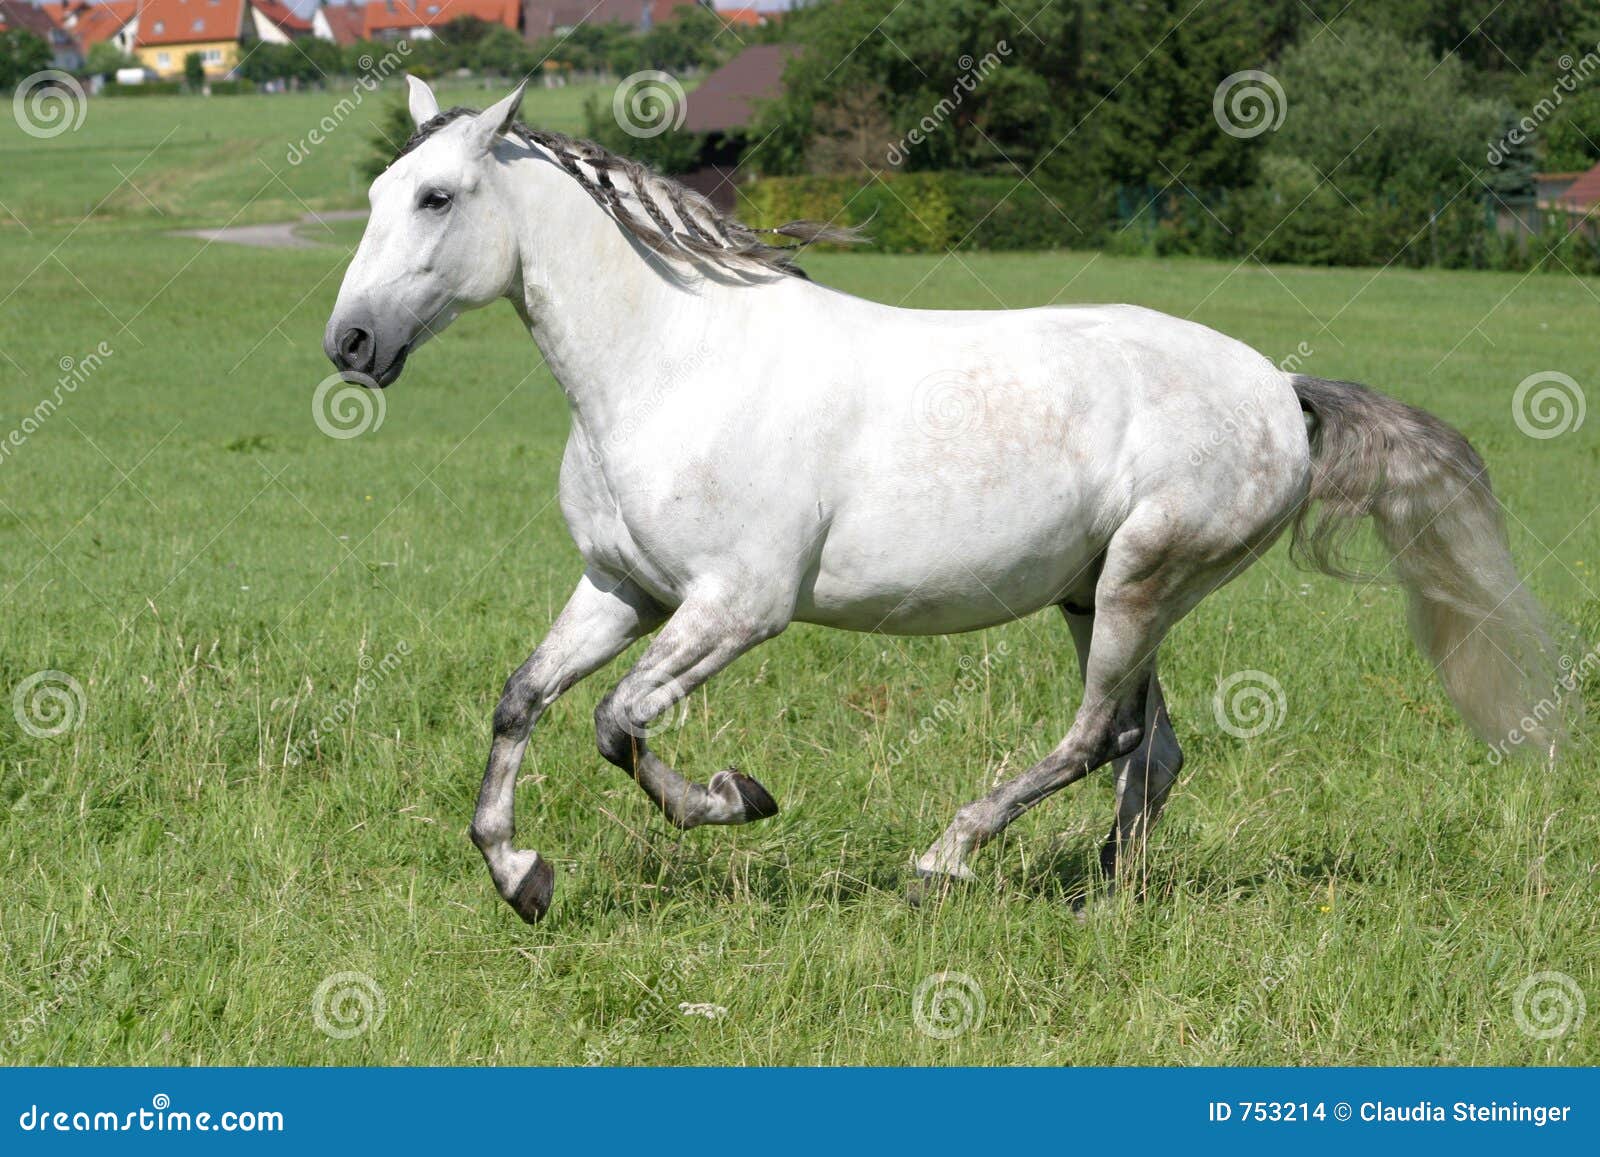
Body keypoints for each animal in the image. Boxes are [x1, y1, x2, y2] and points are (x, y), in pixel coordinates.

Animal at [324, 78, 1565, 924]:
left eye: (436, 196)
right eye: (376, 192)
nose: (351, 344)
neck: (671, 364)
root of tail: (1283, 391)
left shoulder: (738, 606)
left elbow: (617, 722)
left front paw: (735, 797)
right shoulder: (624, 590)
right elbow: (522, 701)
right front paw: (521, 875)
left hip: (1141, 580)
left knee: (1102, 734)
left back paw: (947, 856)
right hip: (1096, 593)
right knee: (1151, 751)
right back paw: (1103, 896)